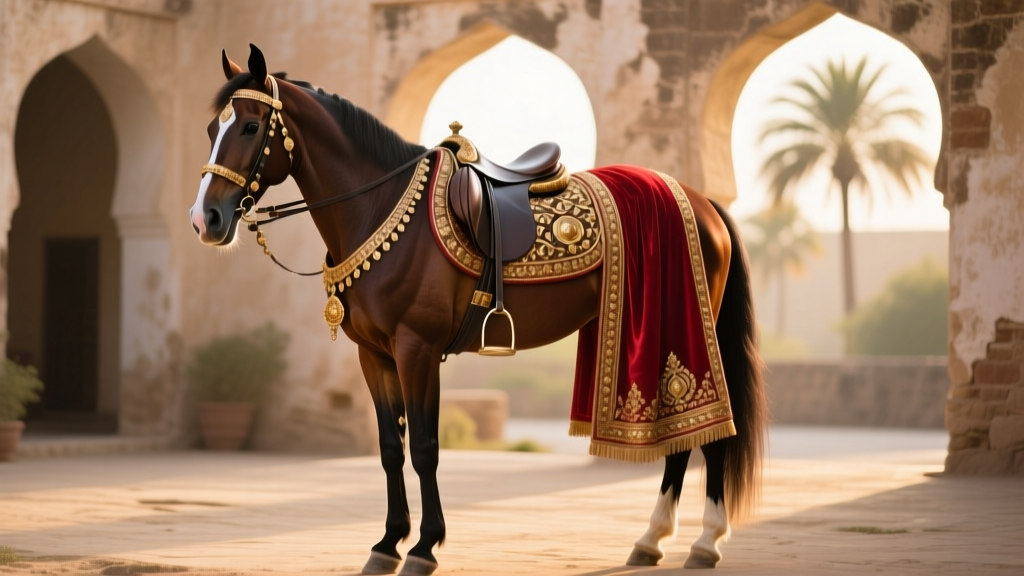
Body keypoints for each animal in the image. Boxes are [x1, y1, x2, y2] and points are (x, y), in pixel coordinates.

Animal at [189, 45, 767, 575]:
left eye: (249, 127)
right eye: (212, 127)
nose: (205, 218)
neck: (382, 210)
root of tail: (702, 202)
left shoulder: (417, 348)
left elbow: (425, 446)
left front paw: (424, 547)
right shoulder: (373, 355)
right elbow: (390, 447)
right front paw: (387, 543)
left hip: (684, 325)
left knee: (710, 434)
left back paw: (703, 542)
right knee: (684, 440)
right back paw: (652, 540)